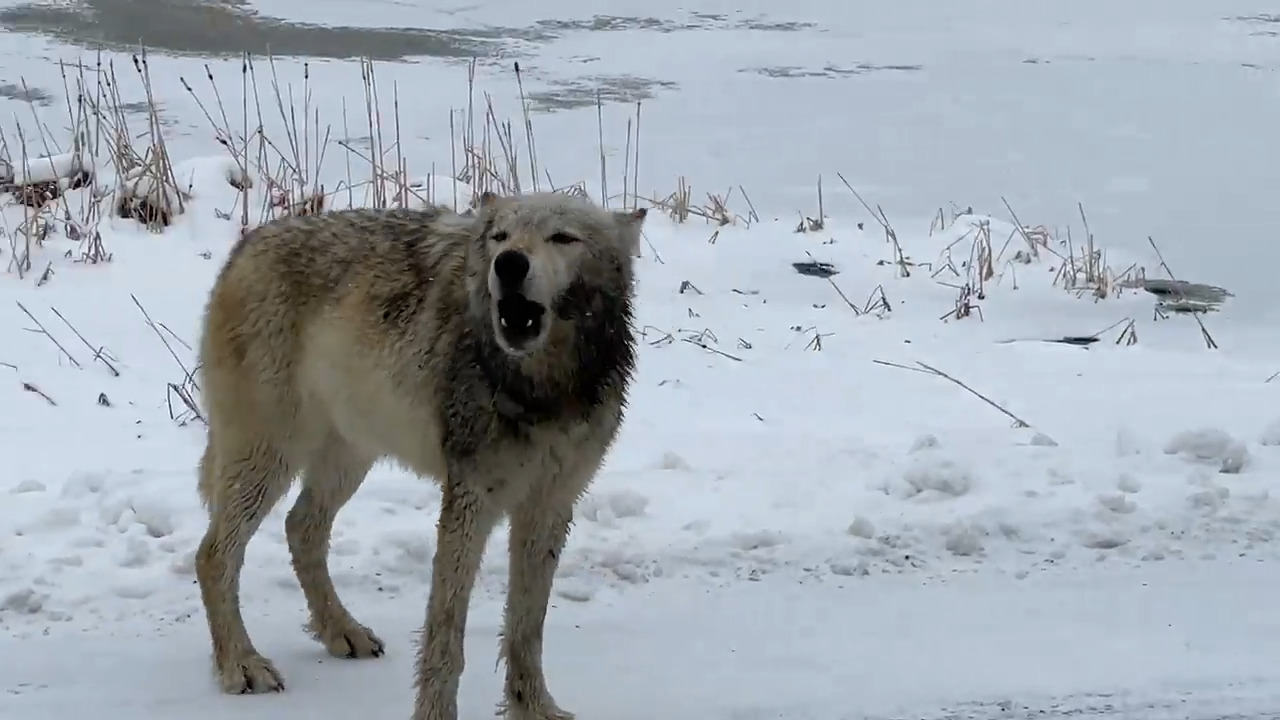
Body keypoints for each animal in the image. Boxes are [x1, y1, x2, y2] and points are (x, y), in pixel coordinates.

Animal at [193, 190, 646, 720]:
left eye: (562, 237)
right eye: (500, 237)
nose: (510, 264)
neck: (540, 387)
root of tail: (246, 245)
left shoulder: (550, 505)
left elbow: (526, 627)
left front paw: (533, 708)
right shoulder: (470, 498)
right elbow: (446, 631)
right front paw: (436, 713)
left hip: (349, 456)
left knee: (300, 527)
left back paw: (341, 631)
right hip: (270, 456)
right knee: (213, 554)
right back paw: (241, 663)